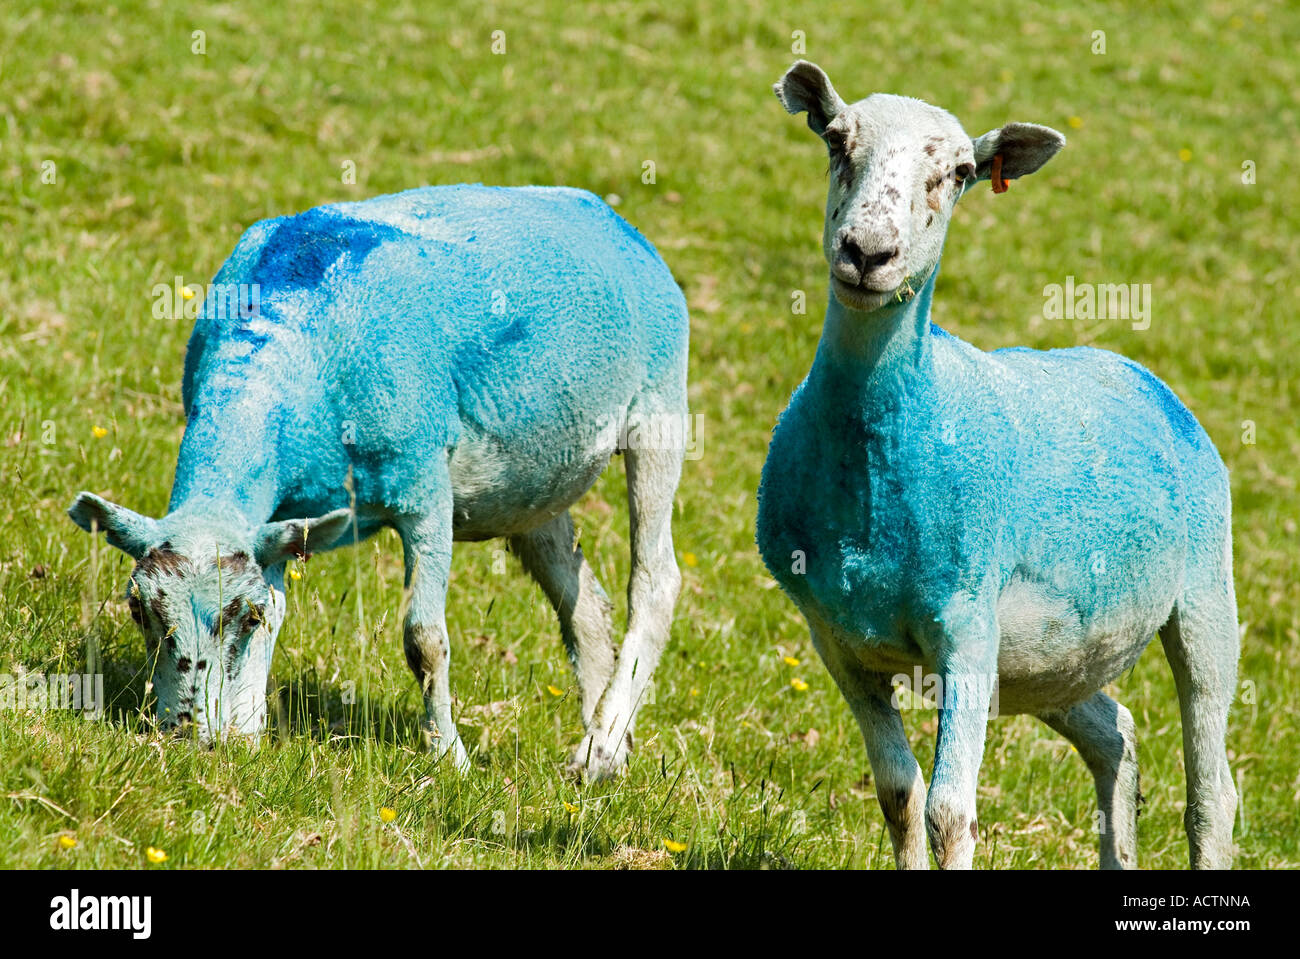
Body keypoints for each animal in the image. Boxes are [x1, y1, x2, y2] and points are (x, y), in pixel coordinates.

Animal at [69, 184, 689, 781]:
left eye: (242, 616)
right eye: (138, 611)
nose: (184, 734)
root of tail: (609, 217)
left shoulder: (424, 488)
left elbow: (424, 640)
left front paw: (450, 760)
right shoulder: (280, 520)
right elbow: (279, 607)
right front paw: (245, 733)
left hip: (660, 408)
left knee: (656, 582)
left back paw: (601, 748)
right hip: (533, 482)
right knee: (584, 607)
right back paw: (606, 751)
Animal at [756, 61, 1239, 869]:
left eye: (958, 174)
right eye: (835, 140)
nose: (867, 252)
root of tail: (1137, 372)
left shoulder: (966, 625)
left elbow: (950, 811)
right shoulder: (838, 640)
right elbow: (899, 795)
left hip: (1204, 591)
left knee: (1212, 794)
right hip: (1052, 659)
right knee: (1115, 735)